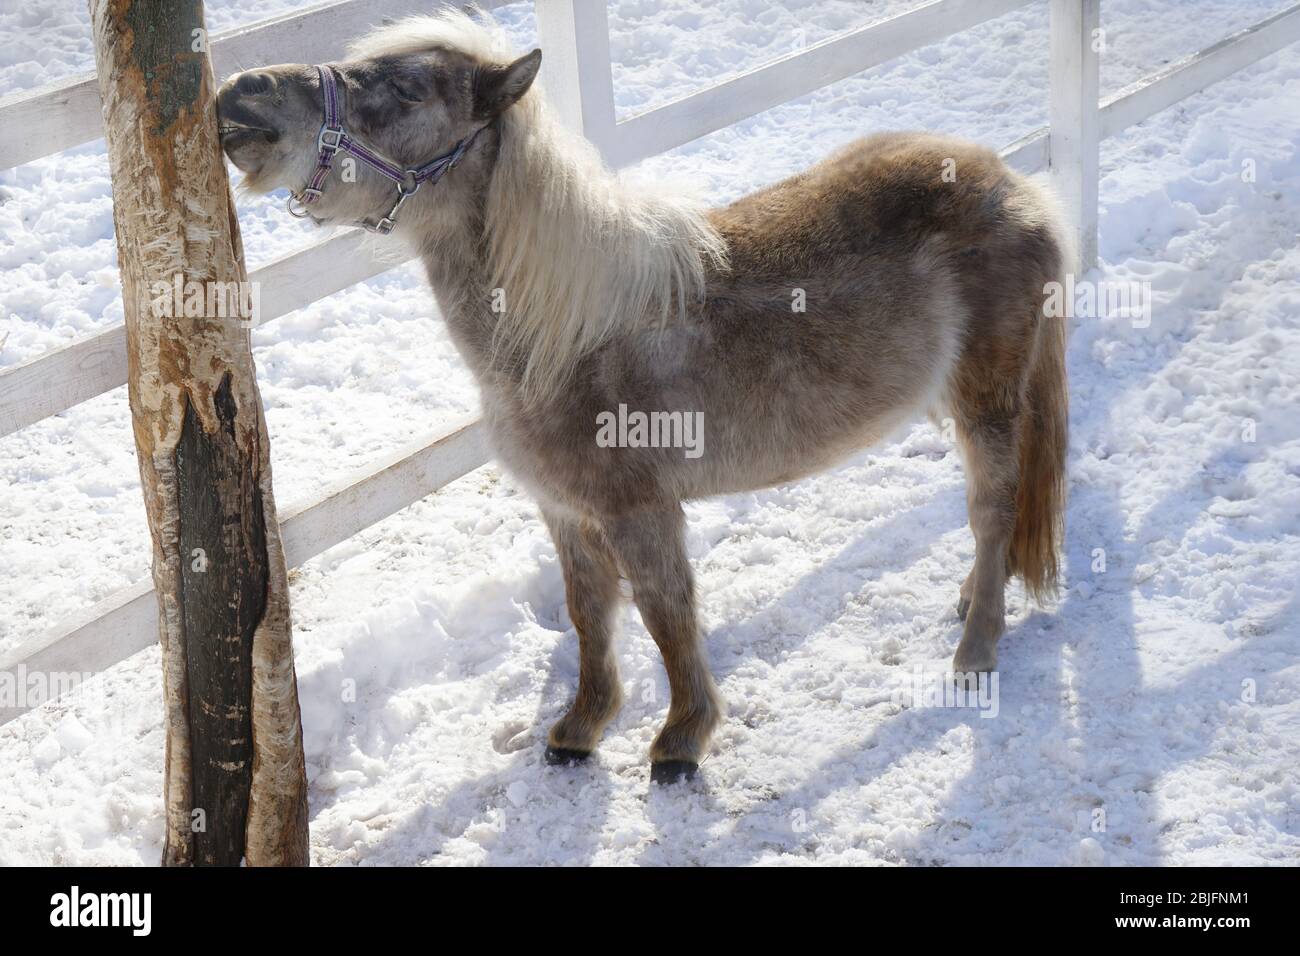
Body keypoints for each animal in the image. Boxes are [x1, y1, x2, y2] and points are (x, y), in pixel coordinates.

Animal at [217, 8, 1069, 784]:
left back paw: (976, 647)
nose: (238, 94)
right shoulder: (565, 511)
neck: (566, 334)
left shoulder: (640, 511)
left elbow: (665, 613)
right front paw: (580, 728)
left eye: (404, 87)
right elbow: (589, 613)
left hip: (986, 400)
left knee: (992, 510)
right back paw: (970, 601)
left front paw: (682, 739)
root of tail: (1015, 185)